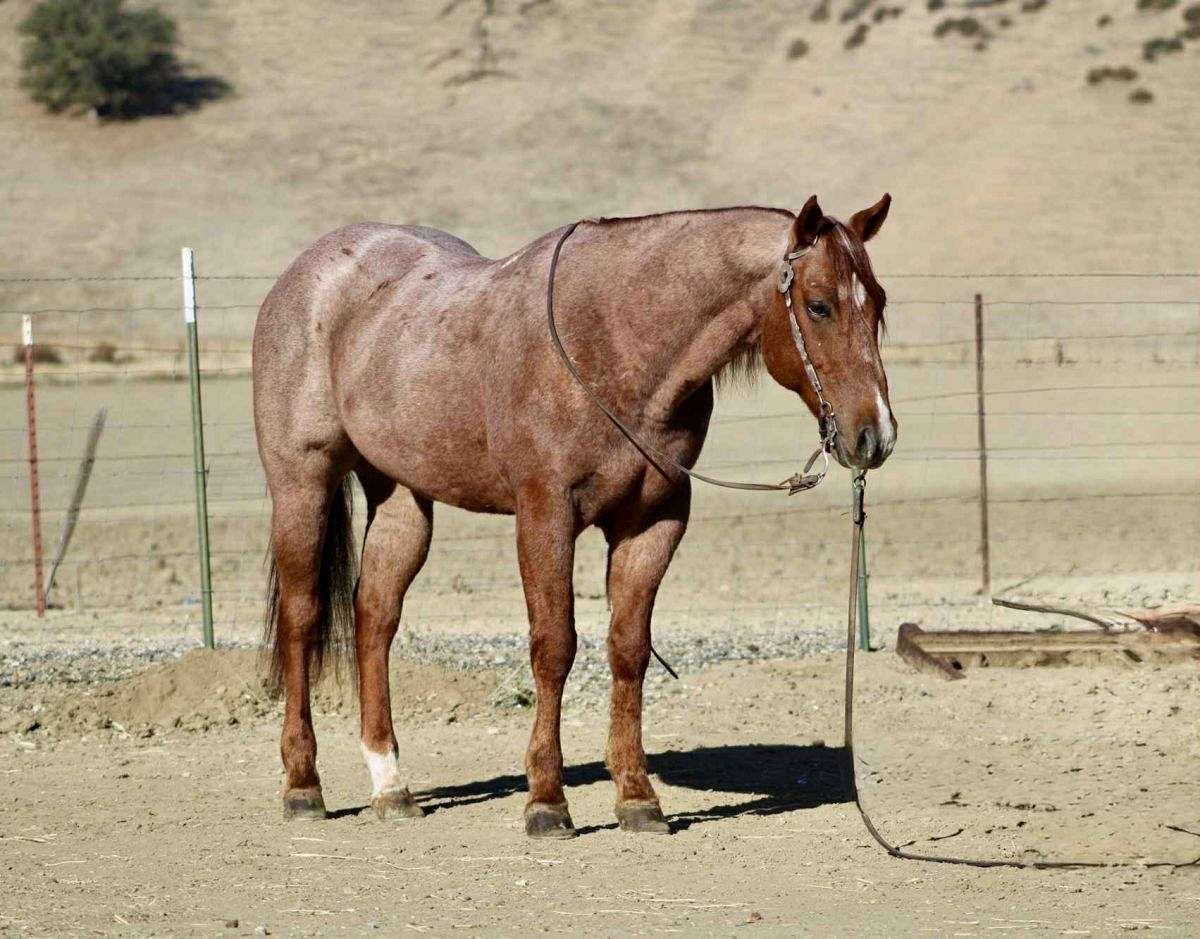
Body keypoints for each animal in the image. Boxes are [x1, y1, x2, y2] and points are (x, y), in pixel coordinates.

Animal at [252, 194, 897, 837]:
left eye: (879, 303)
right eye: (818, 305)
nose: (876, 436)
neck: (617, 342)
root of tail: (308, 275)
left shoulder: (654, 522)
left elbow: (629, 648)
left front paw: (637, 796)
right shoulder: (545, 514)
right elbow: (554, 646)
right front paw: (546, 800)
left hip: (402, 499)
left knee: (375, 616)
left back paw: (391, 785)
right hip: (302, 485)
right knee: (303, 617)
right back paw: (303, 786)